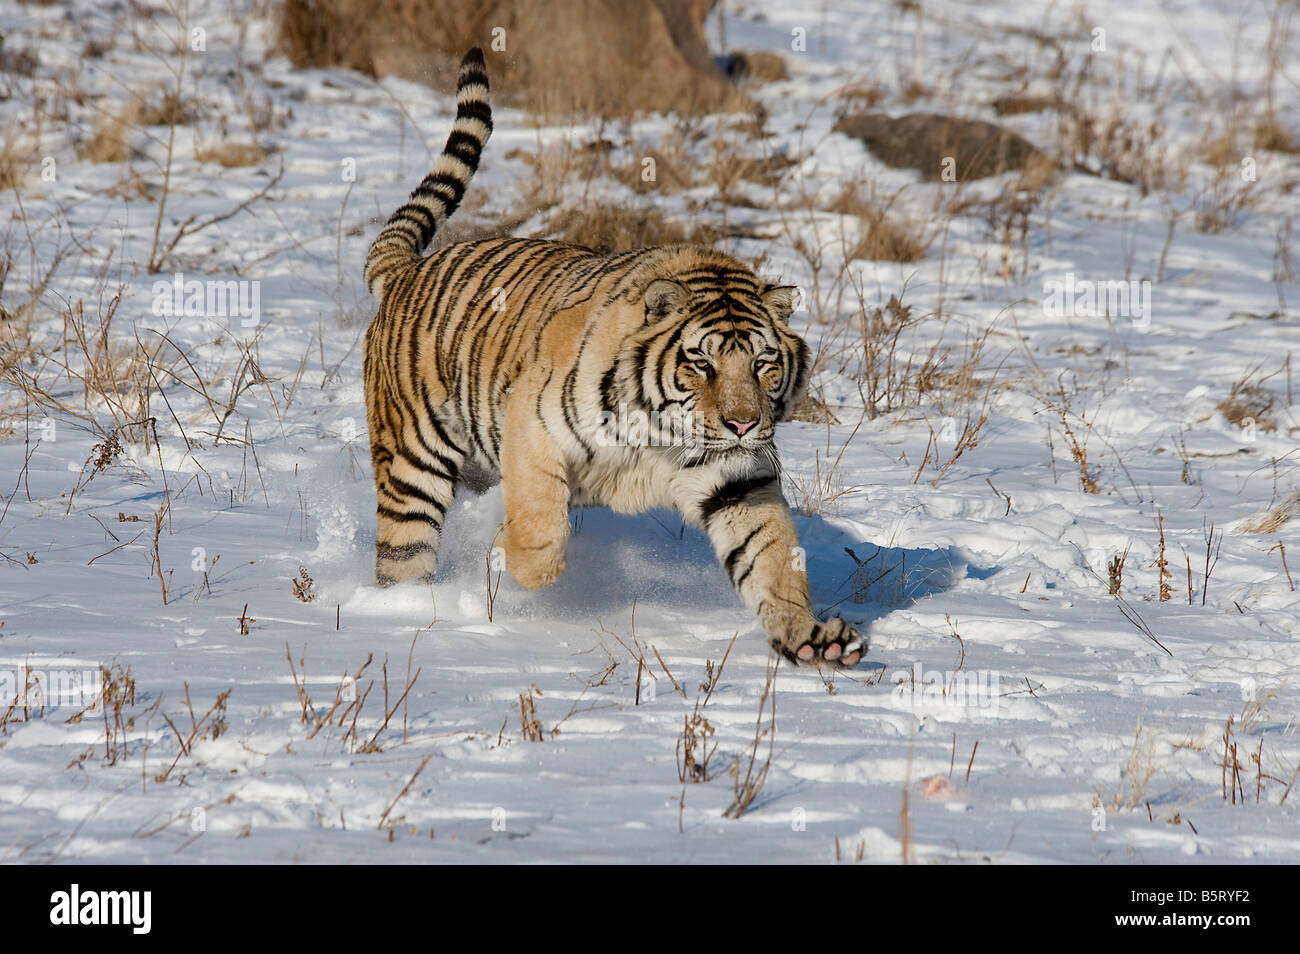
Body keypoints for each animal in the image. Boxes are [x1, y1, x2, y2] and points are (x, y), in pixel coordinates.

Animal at [362, 48, 865, 667]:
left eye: (762, 365)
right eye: (702, 364)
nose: (744, 424)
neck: (662, 436)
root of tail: (407, 269)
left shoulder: (739, 481)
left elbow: (772, 558)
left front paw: (813, 638)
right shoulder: (531, 425)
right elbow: (541, 523)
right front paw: (511, 562)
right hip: (413, 463)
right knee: (404, 550)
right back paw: (404, 612)